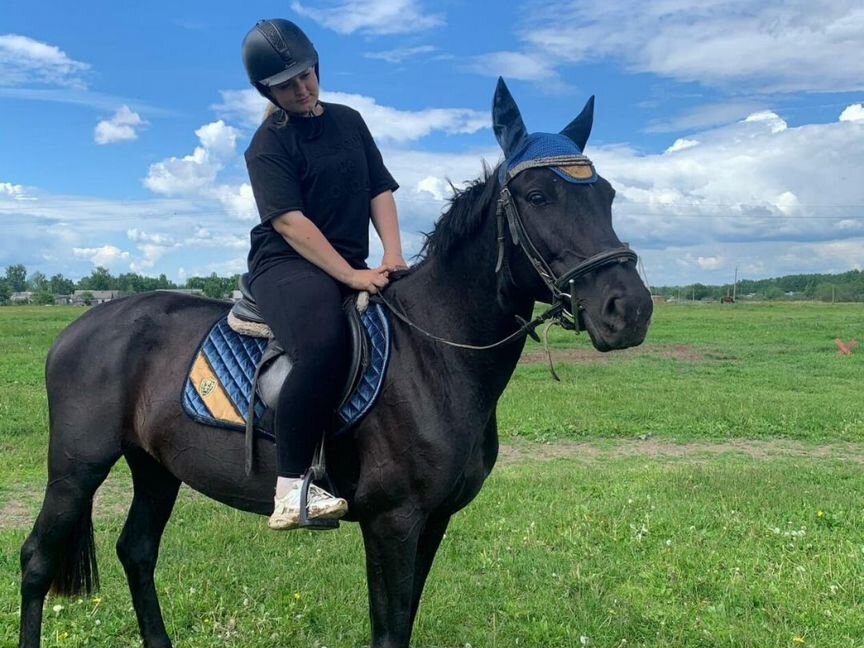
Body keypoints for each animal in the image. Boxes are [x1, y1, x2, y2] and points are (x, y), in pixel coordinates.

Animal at [18, 78, 653, 648]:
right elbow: (389, 631)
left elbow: (404, 622)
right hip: (76, 468)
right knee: (37, 561)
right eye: (538, 196)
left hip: (155, 466)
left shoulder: (434, 521)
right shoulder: (392, 522)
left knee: (137, 551)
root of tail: (79, 327)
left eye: (607, 195)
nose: (630, 310)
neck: (436, 353)